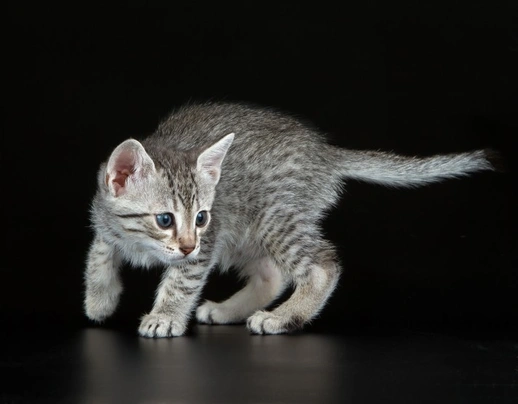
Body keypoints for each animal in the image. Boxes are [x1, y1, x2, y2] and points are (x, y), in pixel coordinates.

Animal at [83, 102, 498, 338]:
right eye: (165, 219)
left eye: (201, 218)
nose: (188, 244)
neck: (139, 241)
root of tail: (326, 154)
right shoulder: (104, 219)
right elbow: (99, 255)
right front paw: (100, 300)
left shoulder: (209, 242)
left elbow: (180, 282)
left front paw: (165, 316)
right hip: (245, 230)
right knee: (272, 275)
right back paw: (228, 310)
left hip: (274, 216)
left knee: (321, 267)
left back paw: (284, 318)